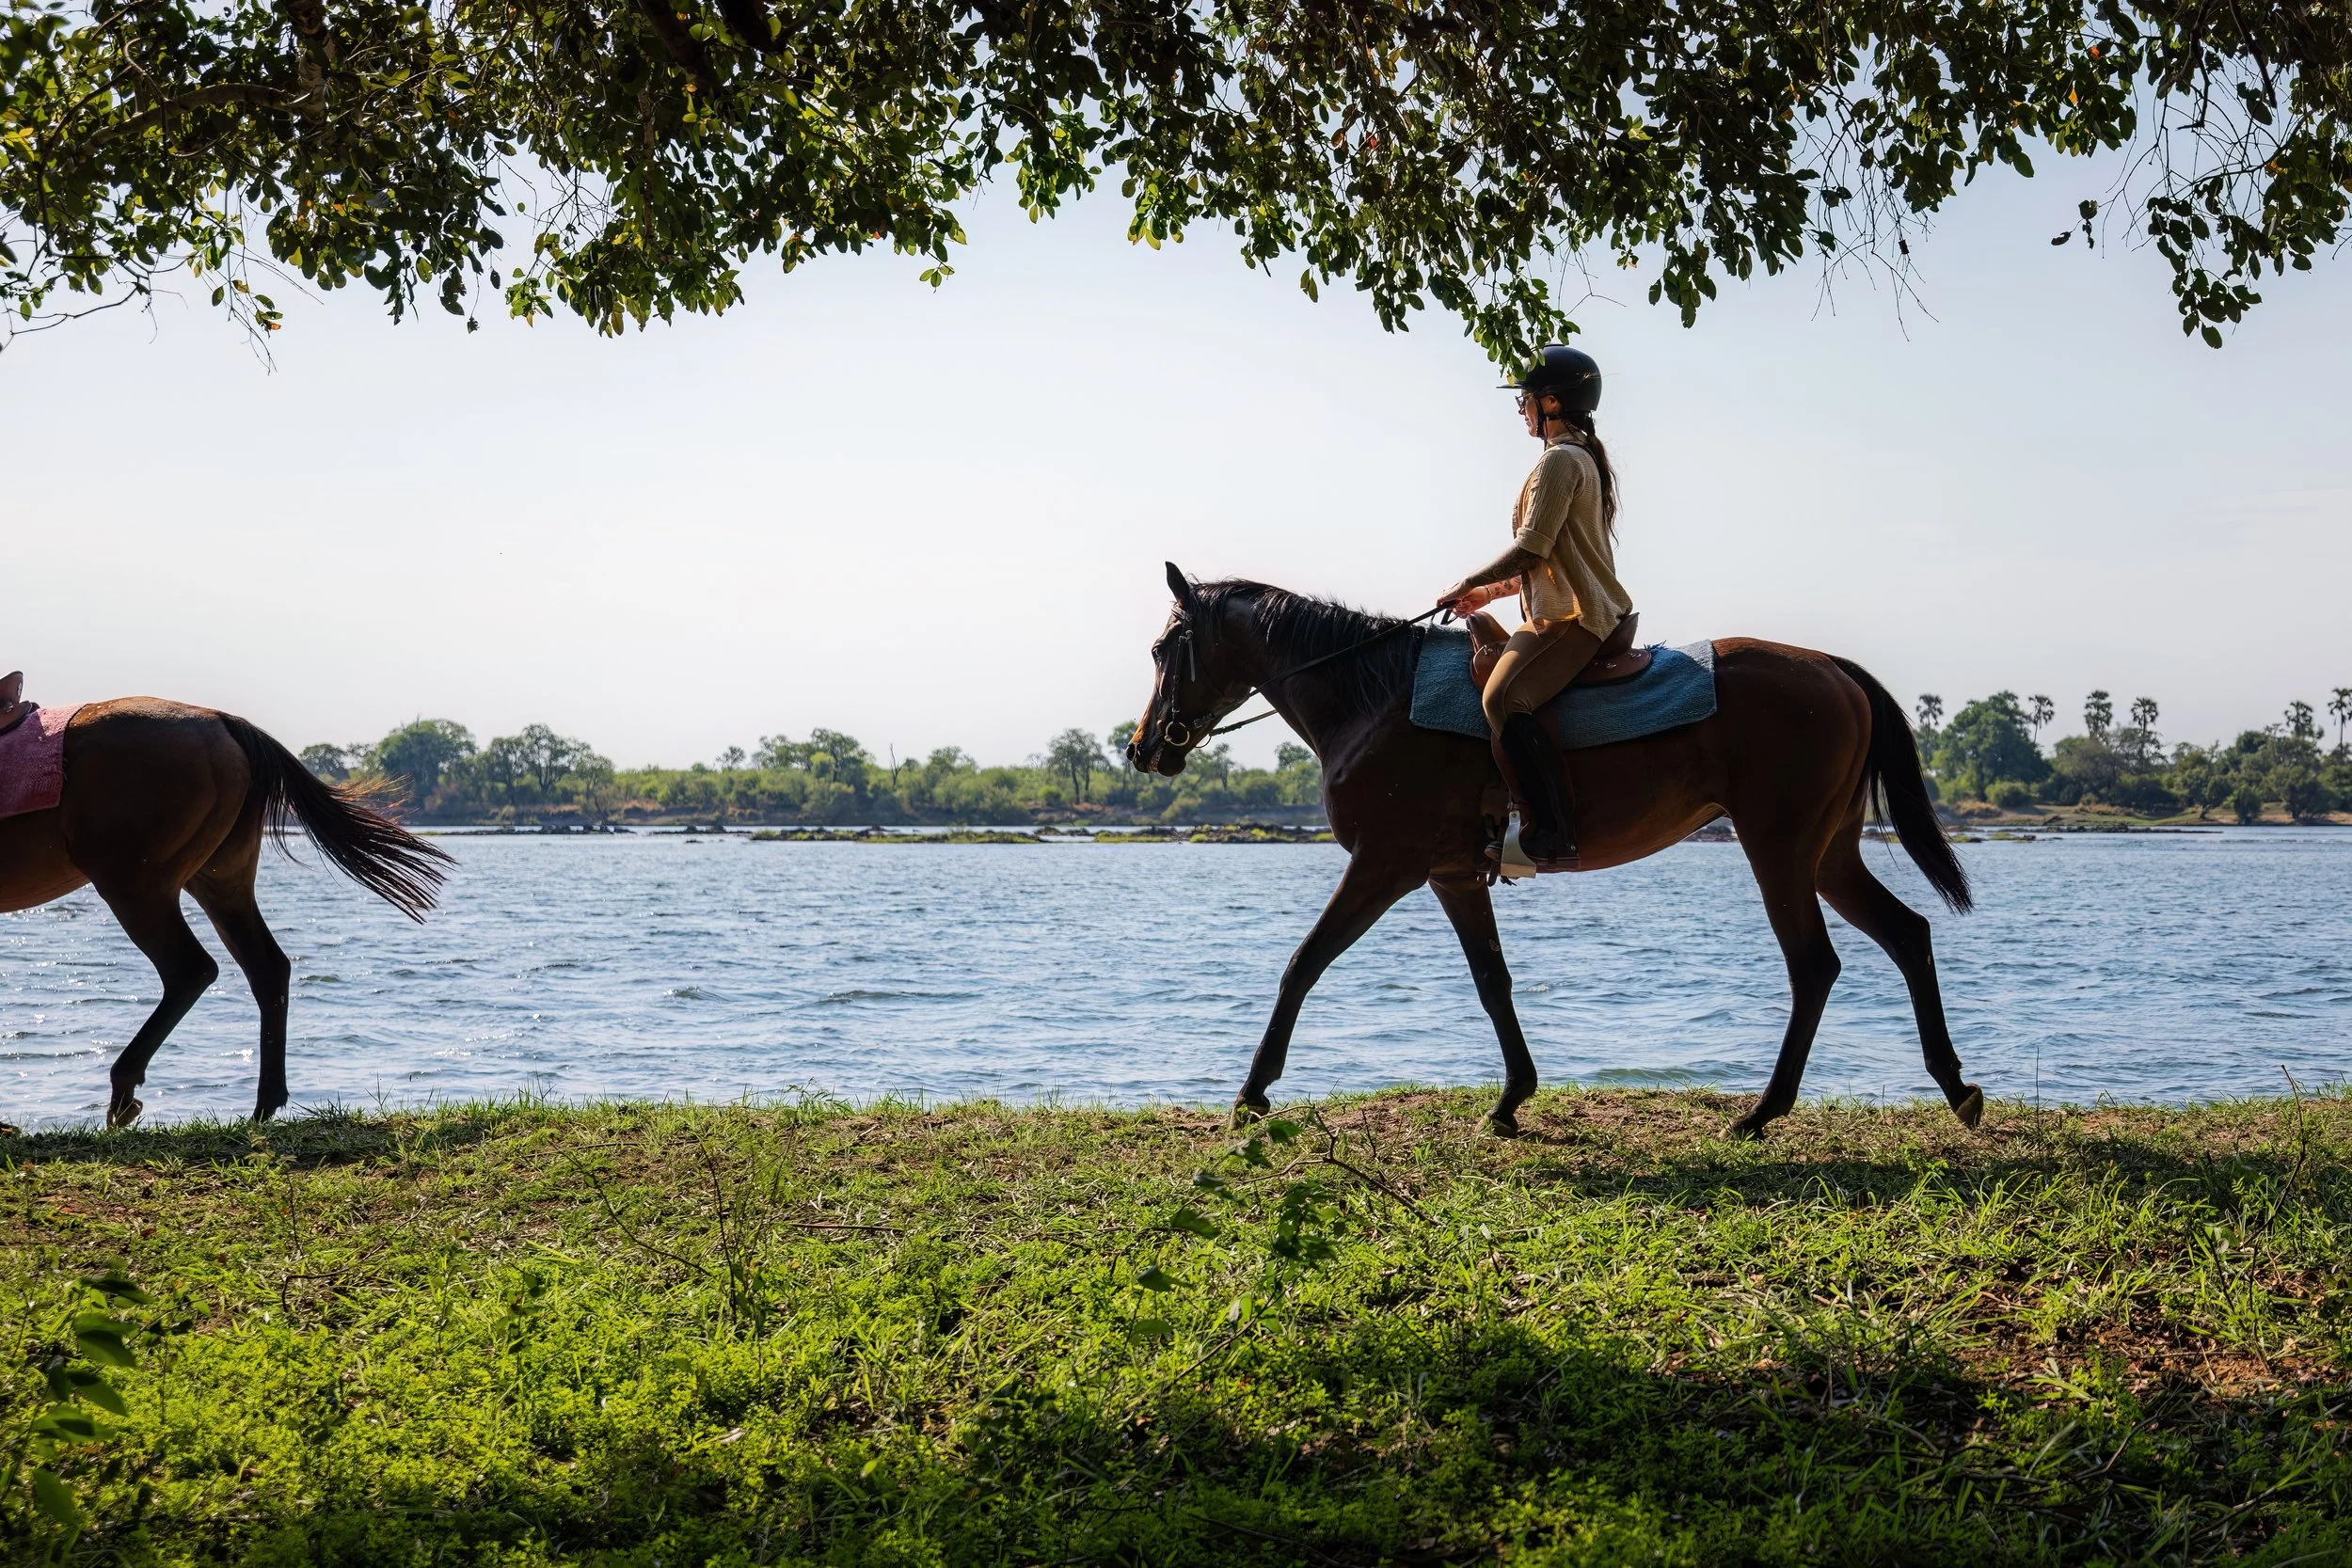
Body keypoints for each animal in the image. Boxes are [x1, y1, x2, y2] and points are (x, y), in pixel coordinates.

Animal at [0, 699, 451, 1128]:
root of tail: (223, 720)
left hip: (135, 885)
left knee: (190, 969)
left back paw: (125, 1092)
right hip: (221, 882)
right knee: (267, 968)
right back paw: (265, 1104)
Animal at [1126, 565, 1981, 1139]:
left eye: (1166, 646)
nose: (1142, 748)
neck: (1373, 698)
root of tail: (1833, 669)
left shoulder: (1383, 865)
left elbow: (1303, 962)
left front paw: (1253, 1091)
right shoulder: (1451, 877)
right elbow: (1493, 981)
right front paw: (1512, 1099)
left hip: (1779, 847)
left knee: (1813, 964)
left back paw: (1763, 1112)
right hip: (1828, 853)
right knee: (1907, 934)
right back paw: (1956, 1086)